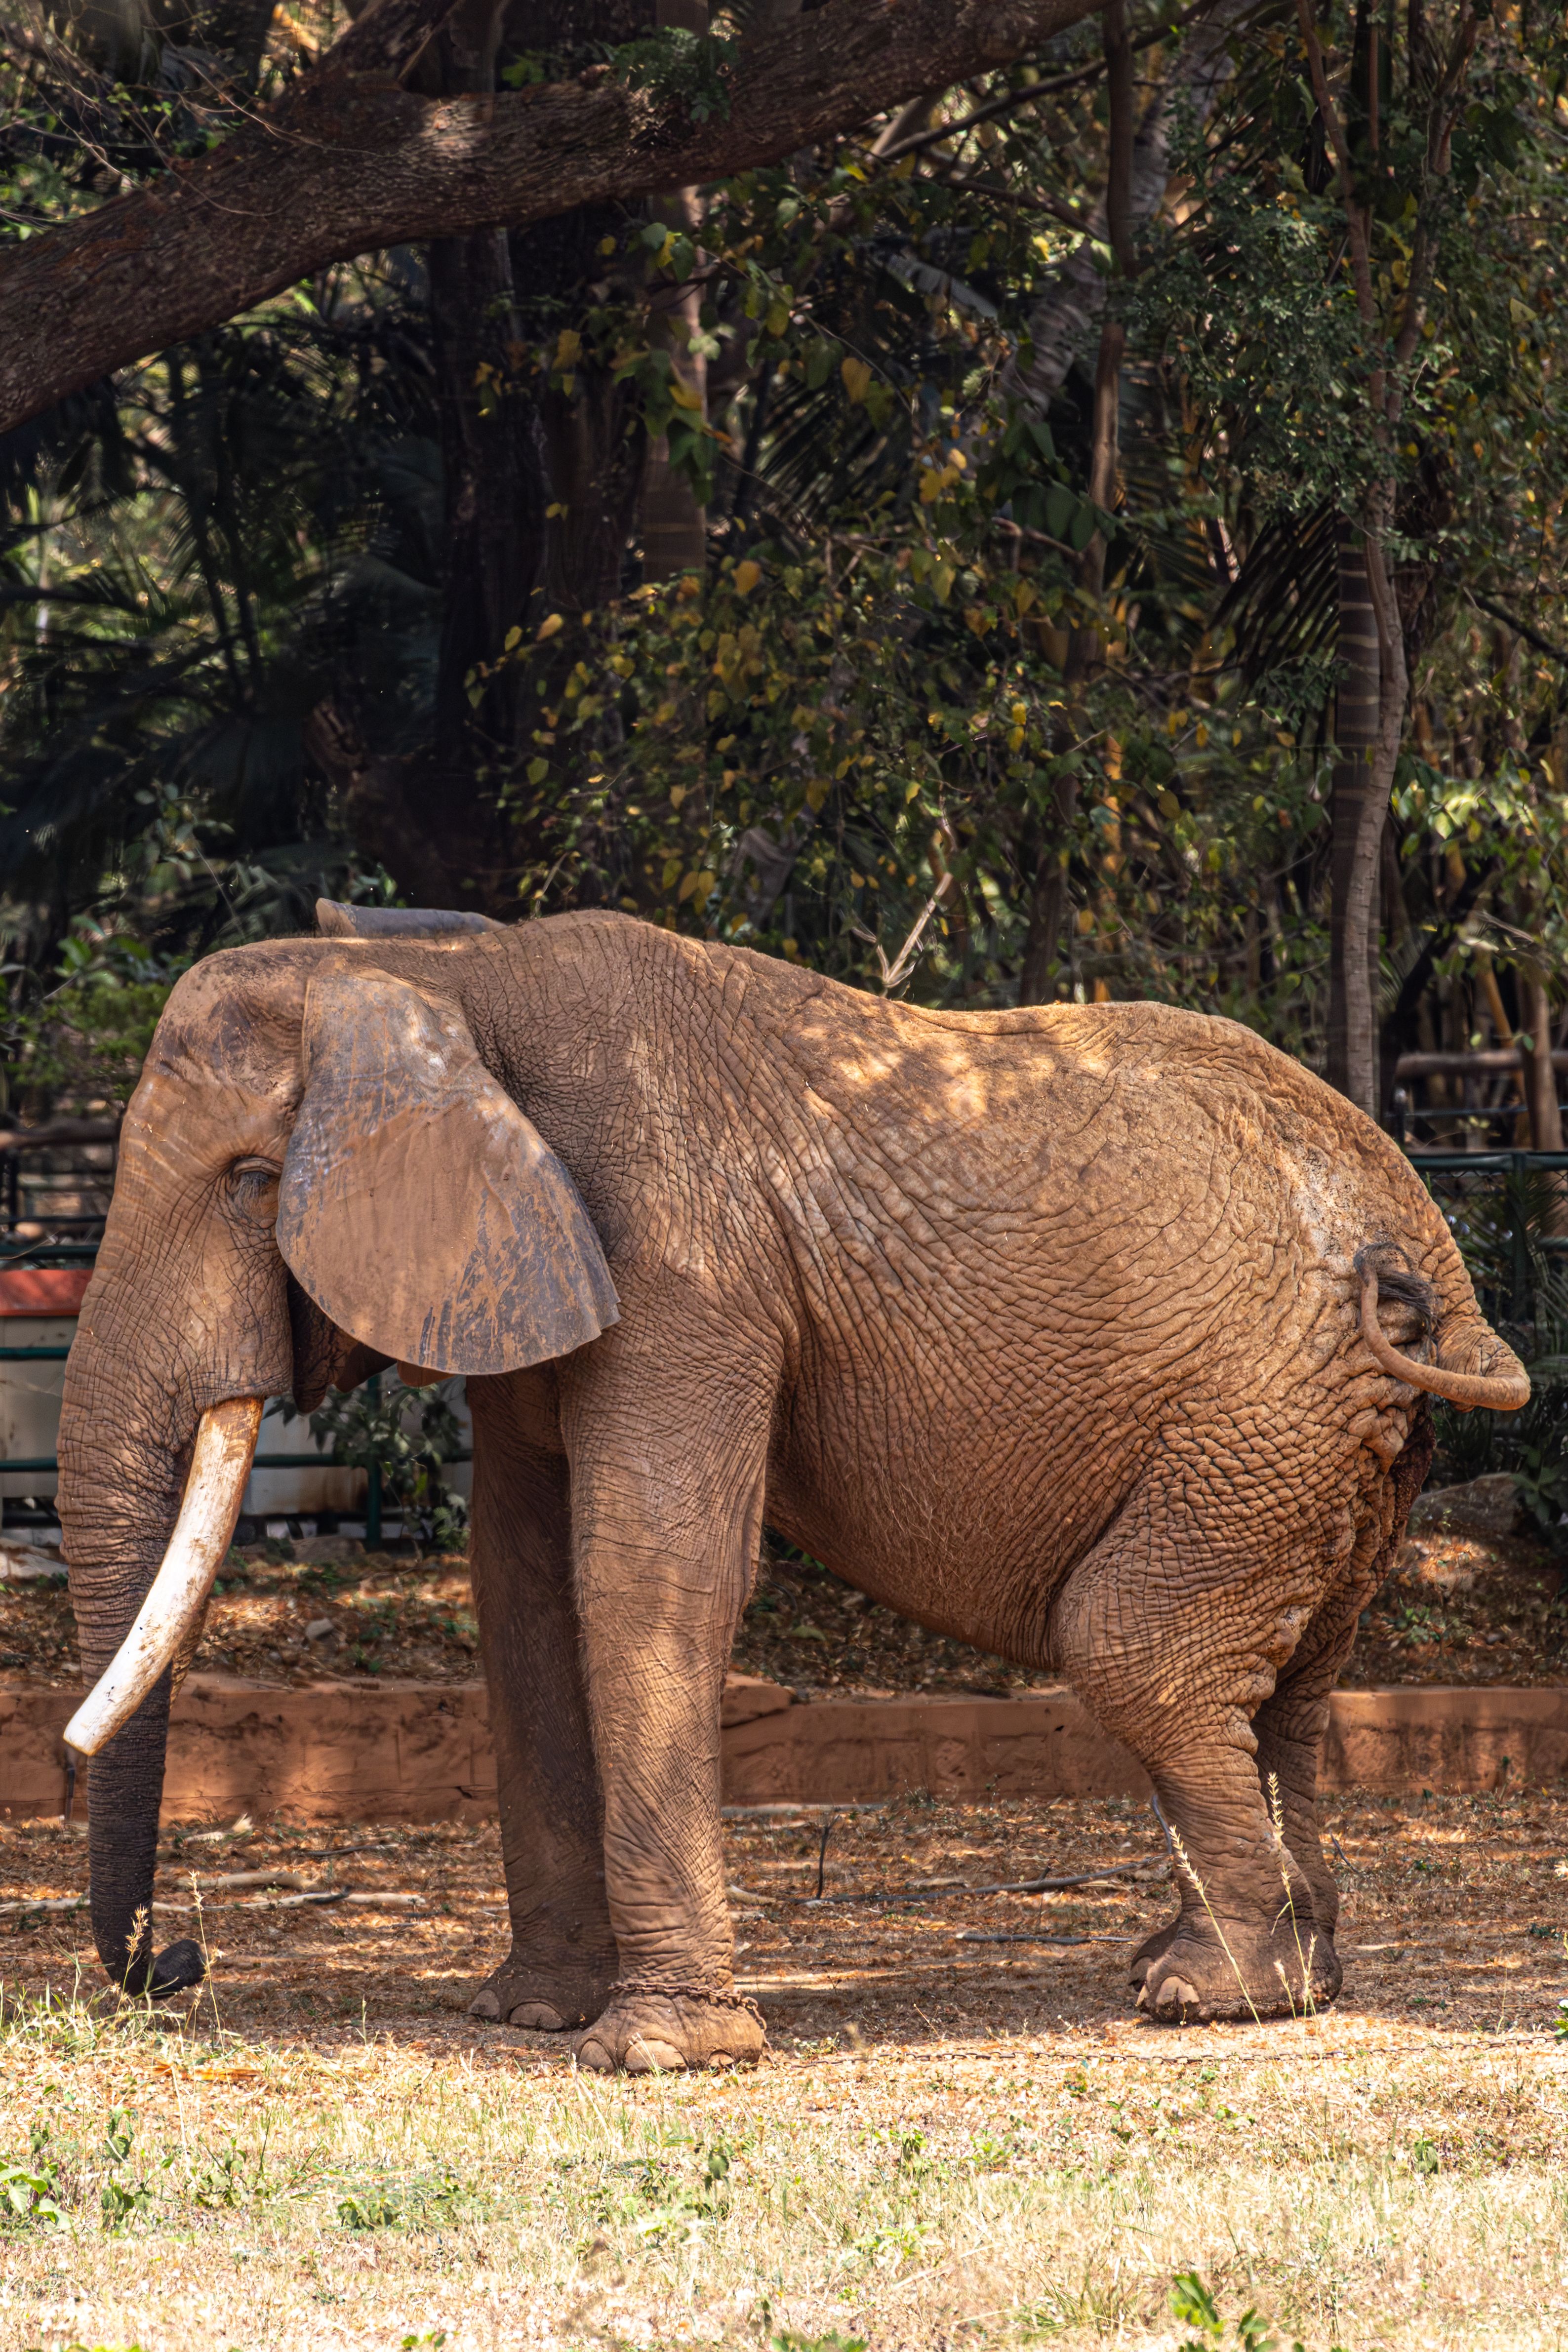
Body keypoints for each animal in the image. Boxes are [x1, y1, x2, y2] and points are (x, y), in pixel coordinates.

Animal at [57, 903, 1527, 2065]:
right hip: (1323, 1443)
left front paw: (656, 2054)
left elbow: (645, 1569)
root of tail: (1426, 1247)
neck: (450, 973)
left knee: (1131, 1647)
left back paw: (1207, 1993)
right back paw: (1278, 1973)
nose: (177, 1966)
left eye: (253, 1185)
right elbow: (520, 1592)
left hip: (1255, 1422)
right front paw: (528, 2016)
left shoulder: (682, 1262)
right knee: (1282, 1684)